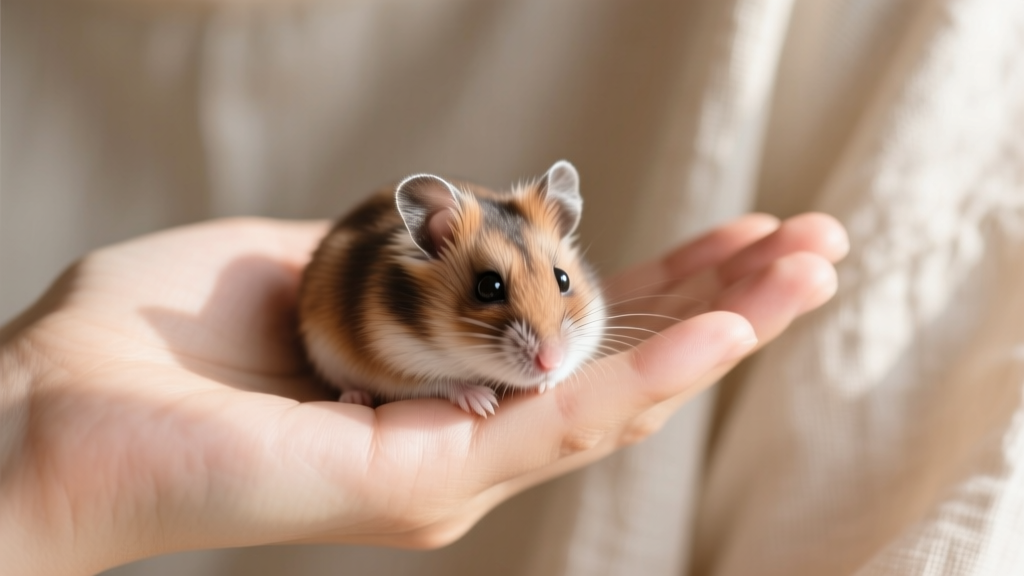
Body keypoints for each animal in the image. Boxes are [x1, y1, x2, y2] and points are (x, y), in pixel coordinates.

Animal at [297, 160, 605, 416]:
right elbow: (442, 382)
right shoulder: (394, 363)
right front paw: (484, 403)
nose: (551, 362)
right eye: (489, 287)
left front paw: (545, 384)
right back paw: (356, 398)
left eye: (563, 279)